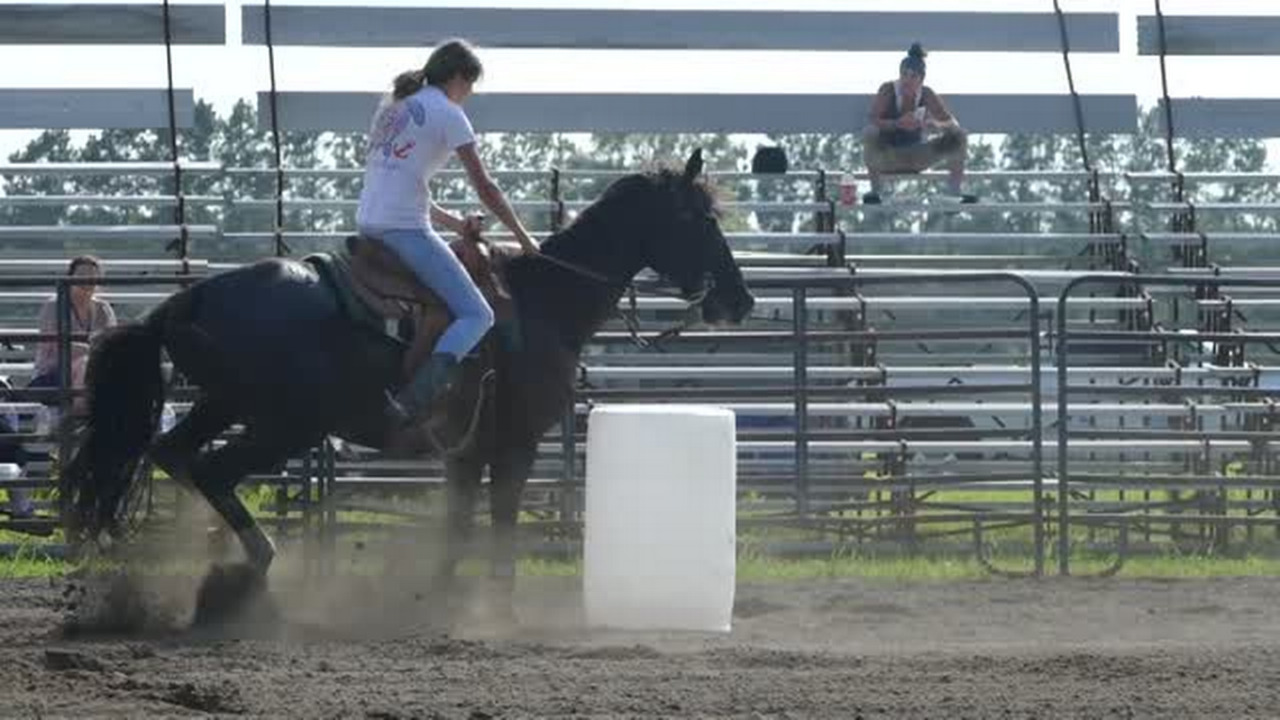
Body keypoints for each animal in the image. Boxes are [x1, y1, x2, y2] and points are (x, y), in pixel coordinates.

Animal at [60, 149, 755, 622]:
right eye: (699, 219)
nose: (740, 300)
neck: (544, 301)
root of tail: (187, 301)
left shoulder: (465, 453)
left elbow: (458, 527)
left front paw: (438, 602)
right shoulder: (516, 444)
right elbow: (499, 525)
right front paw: (498, 613)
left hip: (225, 402)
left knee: (174, 454)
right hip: (287, 422)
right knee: (213, 470)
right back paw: (255, 572)